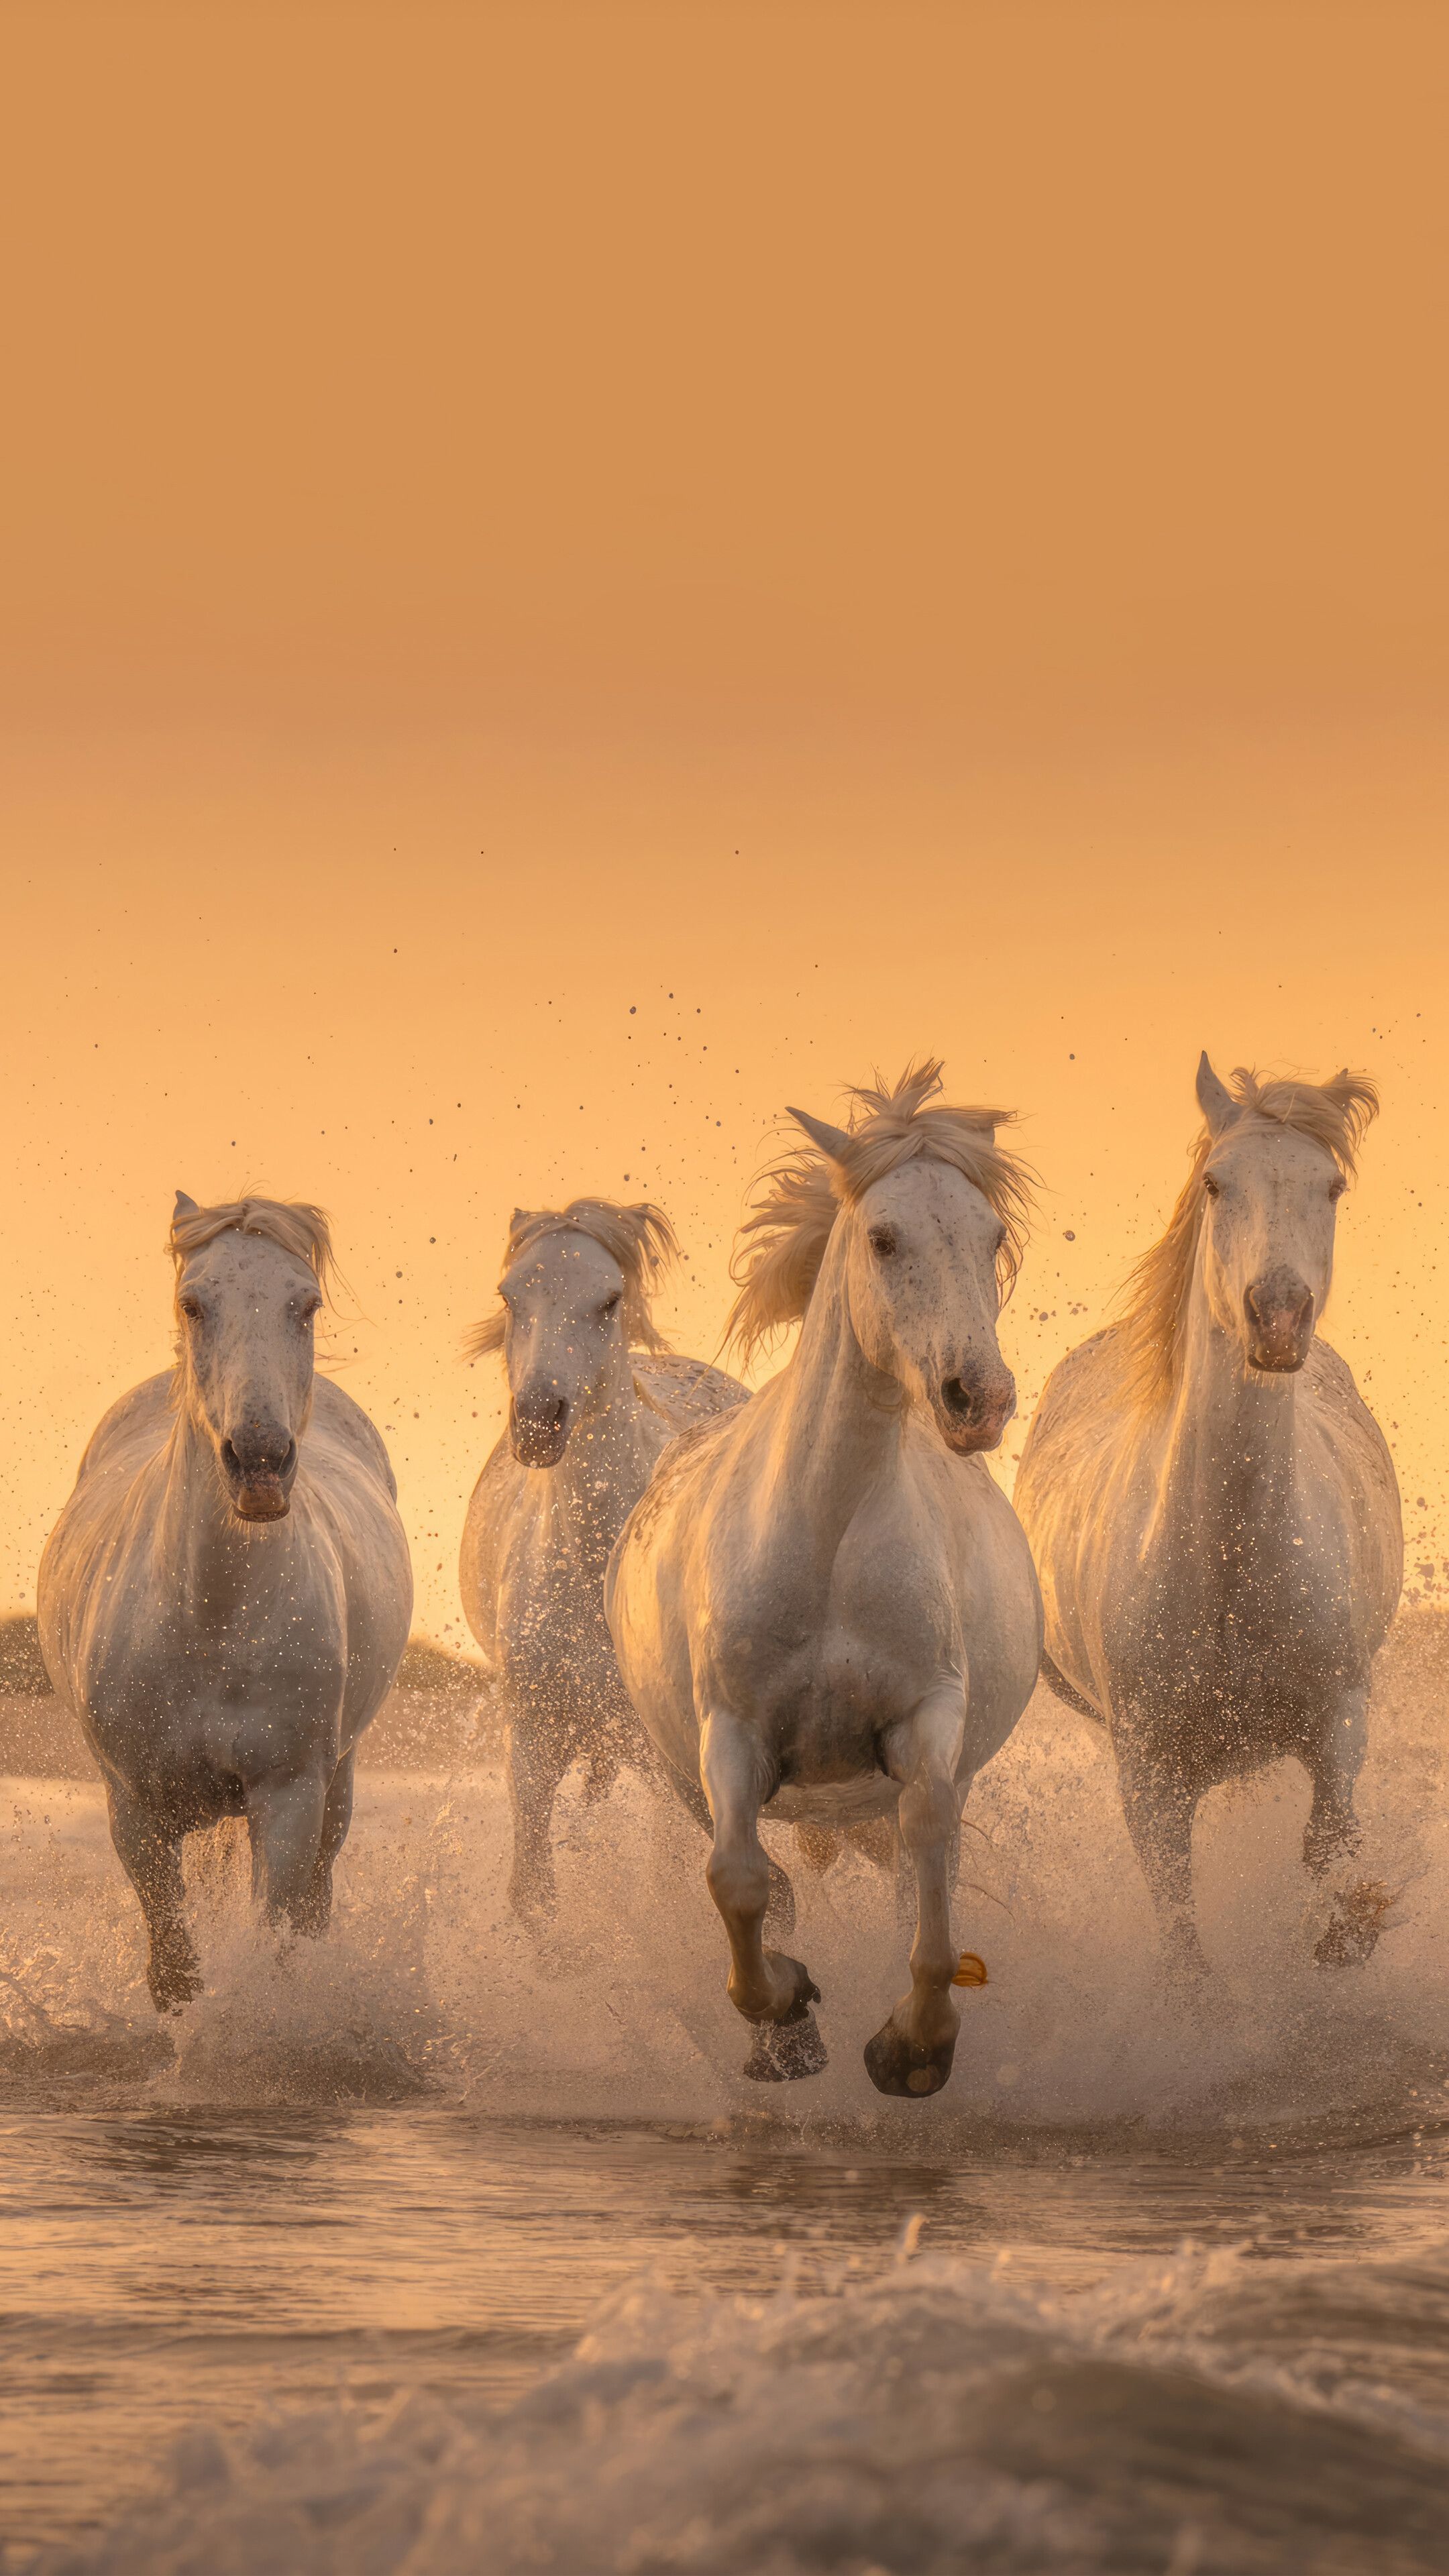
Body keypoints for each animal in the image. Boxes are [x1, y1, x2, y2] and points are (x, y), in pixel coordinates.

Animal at [37, 1193, 412, 2011]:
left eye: (306, 1304)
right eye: (193, 1303)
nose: (261, 1464)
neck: (210, 1616)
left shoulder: (290, 1796)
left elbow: (274, 1947)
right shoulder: (137, 1811)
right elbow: (175, 1972)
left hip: (337, 1784)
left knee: (315, 1904)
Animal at [458, 1198, 748, 1928]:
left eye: (609, 1299)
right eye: (510, 1296)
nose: (538, 1421)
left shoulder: (672, 1755)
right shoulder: (534, 1738)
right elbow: (533, 1894)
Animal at [605, 1062, 1043, 2097]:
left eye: (991, 1236)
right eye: (883, 1238)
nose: (979, 1398)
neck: (828, 1537)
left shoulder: (926, 1718)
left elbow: (929, 1855)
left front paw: (914, 2047)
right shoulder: (732, 1734)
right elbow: (737, 1881)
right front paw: (786, 2018)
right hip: (687, 1771)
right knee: (763, 1877)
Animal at [1014, 1056, 1403, 1978]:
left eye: (1332, 1186)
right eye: (1216, 1184)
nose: (1279, 1316)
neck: (1230, 1561)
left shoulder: (1340, 1720)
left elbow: (1328, 1848)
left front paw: (1338, 1936)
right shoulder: (1151, 1776)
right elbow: (1187, 1949)